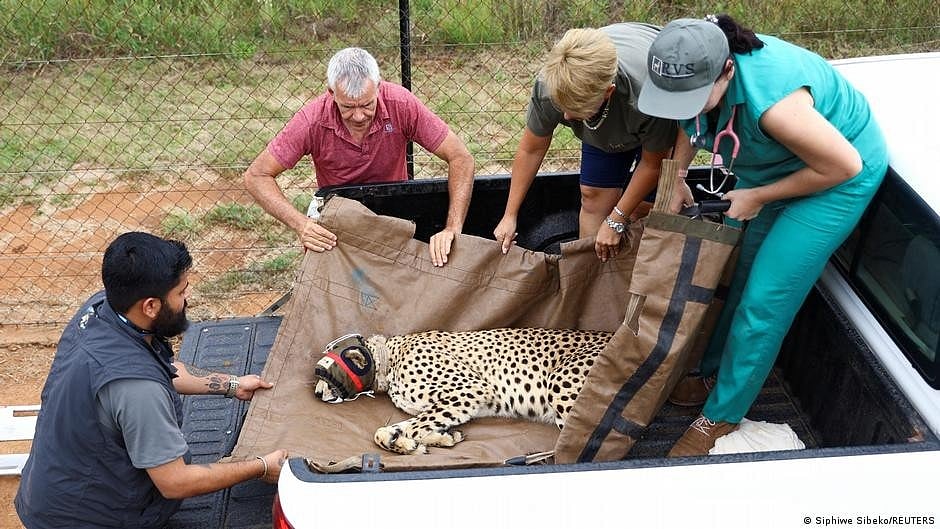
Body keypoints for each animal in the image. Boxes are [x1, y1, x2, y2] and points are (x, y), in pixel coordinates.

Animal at [313, 328, 612, 455]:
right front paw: (442, 438)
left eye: (324, 371)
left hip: (560, 386)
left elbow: (411, 427)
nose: (316, 393)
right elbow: (399, 427)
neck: (389, 360)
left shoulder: (473, 388)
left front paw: (406, 443)